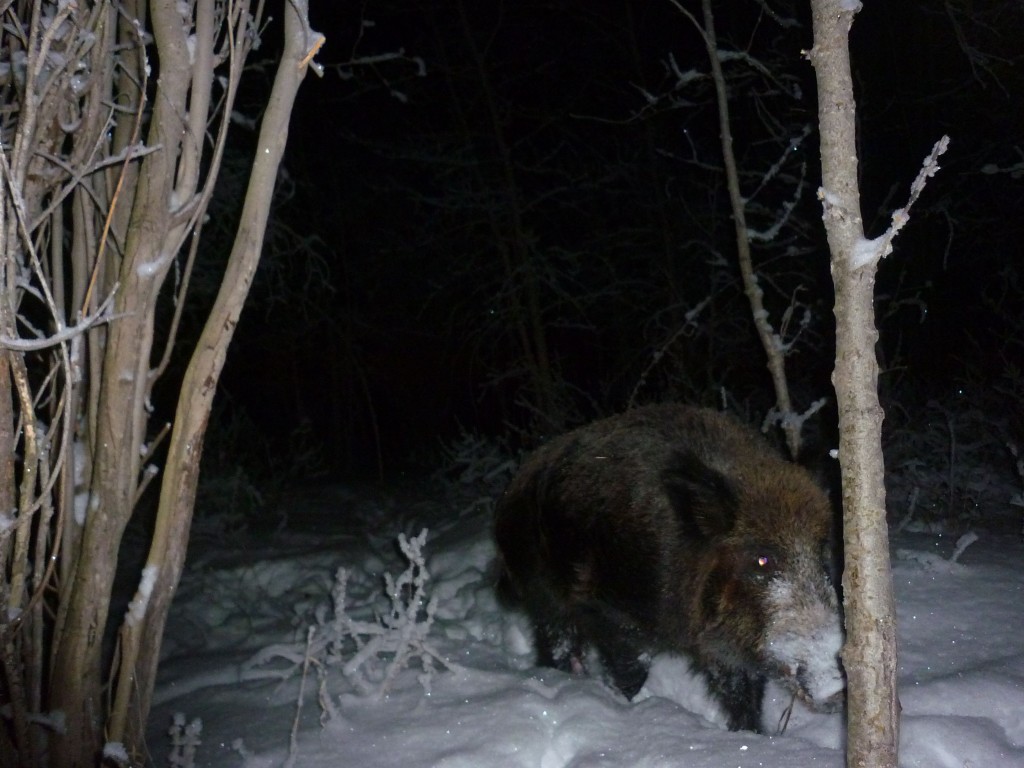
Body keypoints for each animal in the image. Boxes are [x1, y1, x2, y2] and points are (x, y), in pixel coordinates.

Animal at [493, 403, 845, 733]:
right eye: (762, 559)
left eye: (821, 553)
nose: (838, 688)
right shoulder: (608, 610)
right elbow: (631, 670)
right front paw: (629, 708)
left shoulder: (724, 645)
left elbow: (742, 695)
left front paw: (750, 735)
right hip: (542, 593)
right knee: (556, 642)